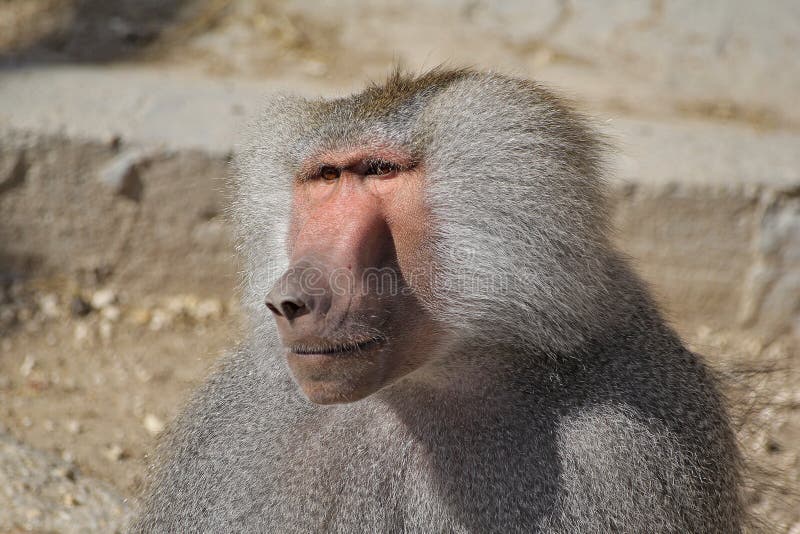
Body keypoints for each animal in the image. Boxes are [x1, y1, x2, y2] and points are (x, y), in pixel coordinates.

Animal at [130, 68, 743, 533]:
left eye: (379, 171)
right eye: (324, 177)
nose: (290, 301)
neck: (431, 381)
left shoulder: (628, 453)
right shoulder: (236, 441)